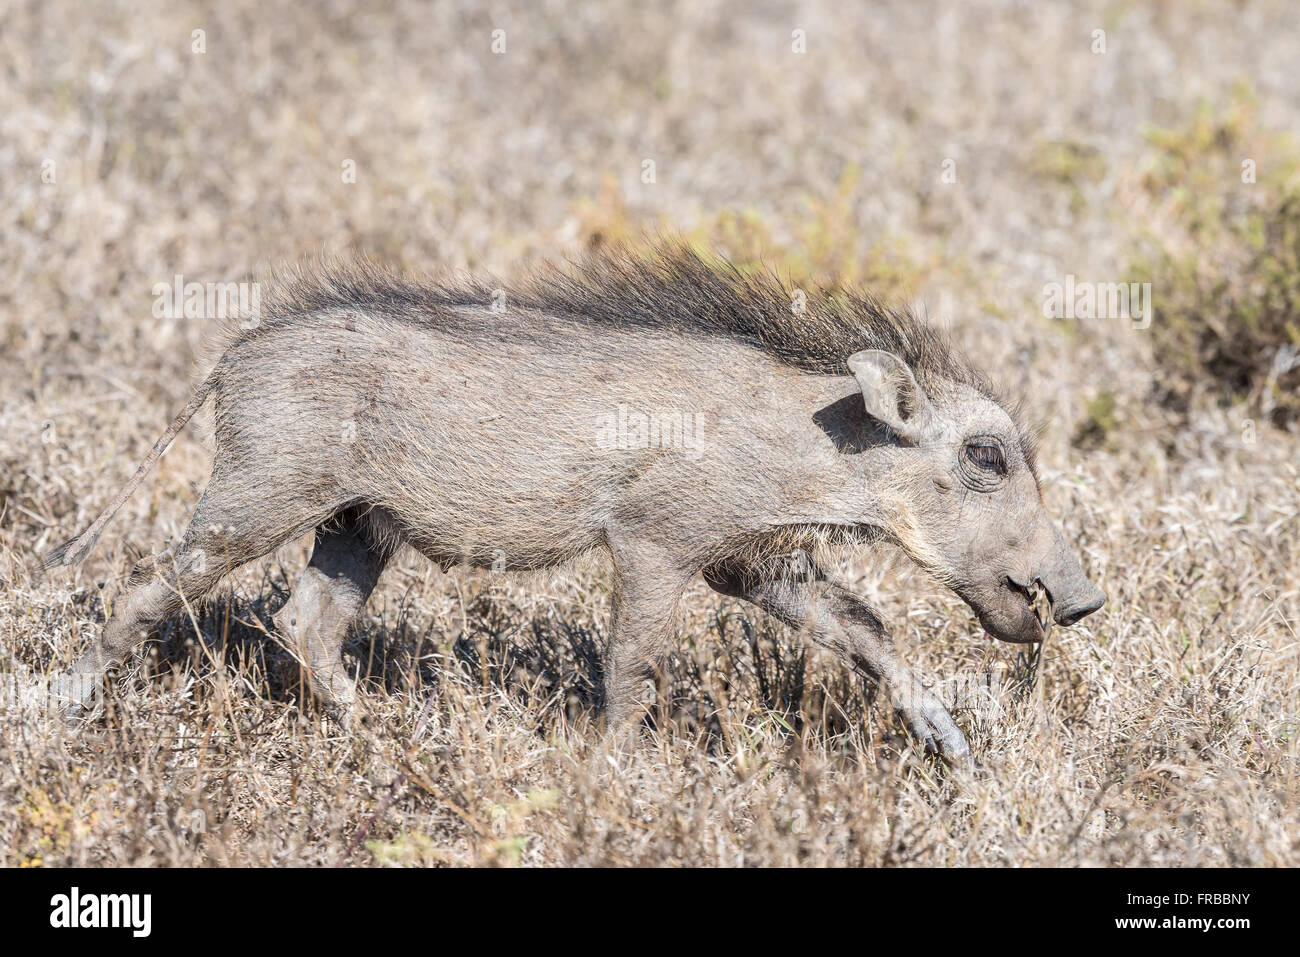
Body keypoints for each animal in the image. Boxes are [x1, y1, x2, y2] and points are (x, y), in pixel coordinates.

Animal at [44, 246, 1105, 761]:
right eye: (984, 452)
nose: (1086, 597)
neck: (816, 433)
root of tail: (234, 355)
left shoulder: (748, 560)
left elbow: (866, 629)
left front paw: (956, 751)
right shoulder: (654, 542)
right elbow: (633, 664)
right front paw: (617, 776)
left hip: (355, 525)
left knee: (308, 625)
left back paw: (391, 742)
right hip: (257, 496)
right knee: (146, 591)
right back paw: (55, 708)